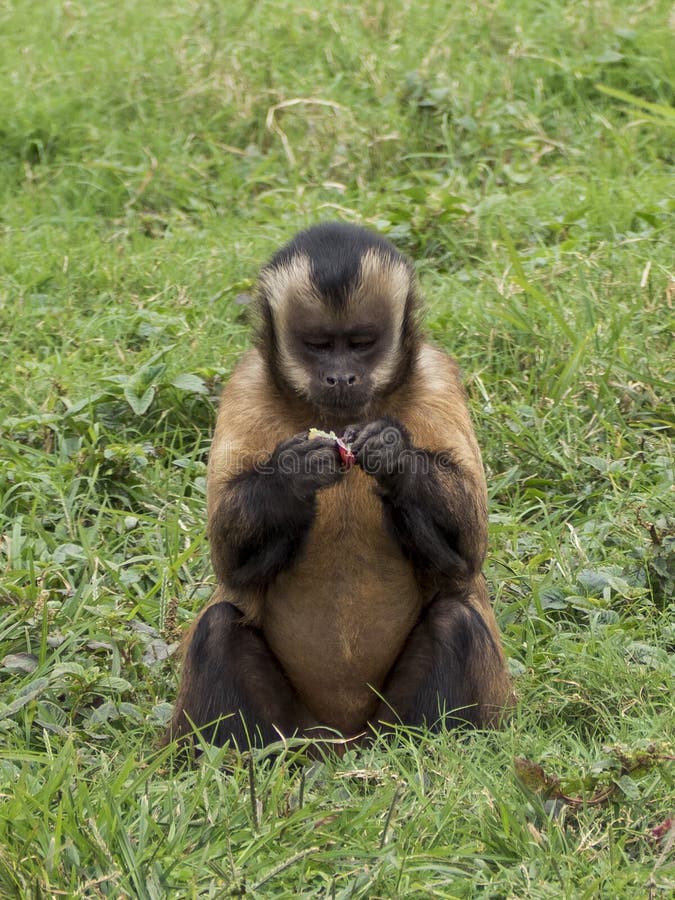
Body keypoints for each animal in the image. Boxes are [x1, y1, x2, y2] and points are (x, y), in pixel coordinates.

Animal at [166, 222, 512, 750]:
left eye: (361, 342)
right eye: (319, 344)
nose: (341, 376)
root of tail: (342, 740)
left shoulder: (436, 377)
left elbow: (467, 553)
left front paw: (393, 453)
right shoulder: (246, 383)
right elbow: (231, 564)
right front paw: (291, 474)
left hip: (388, 727)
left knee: (455, 618)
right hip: (294, 731)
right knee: (220, 625)